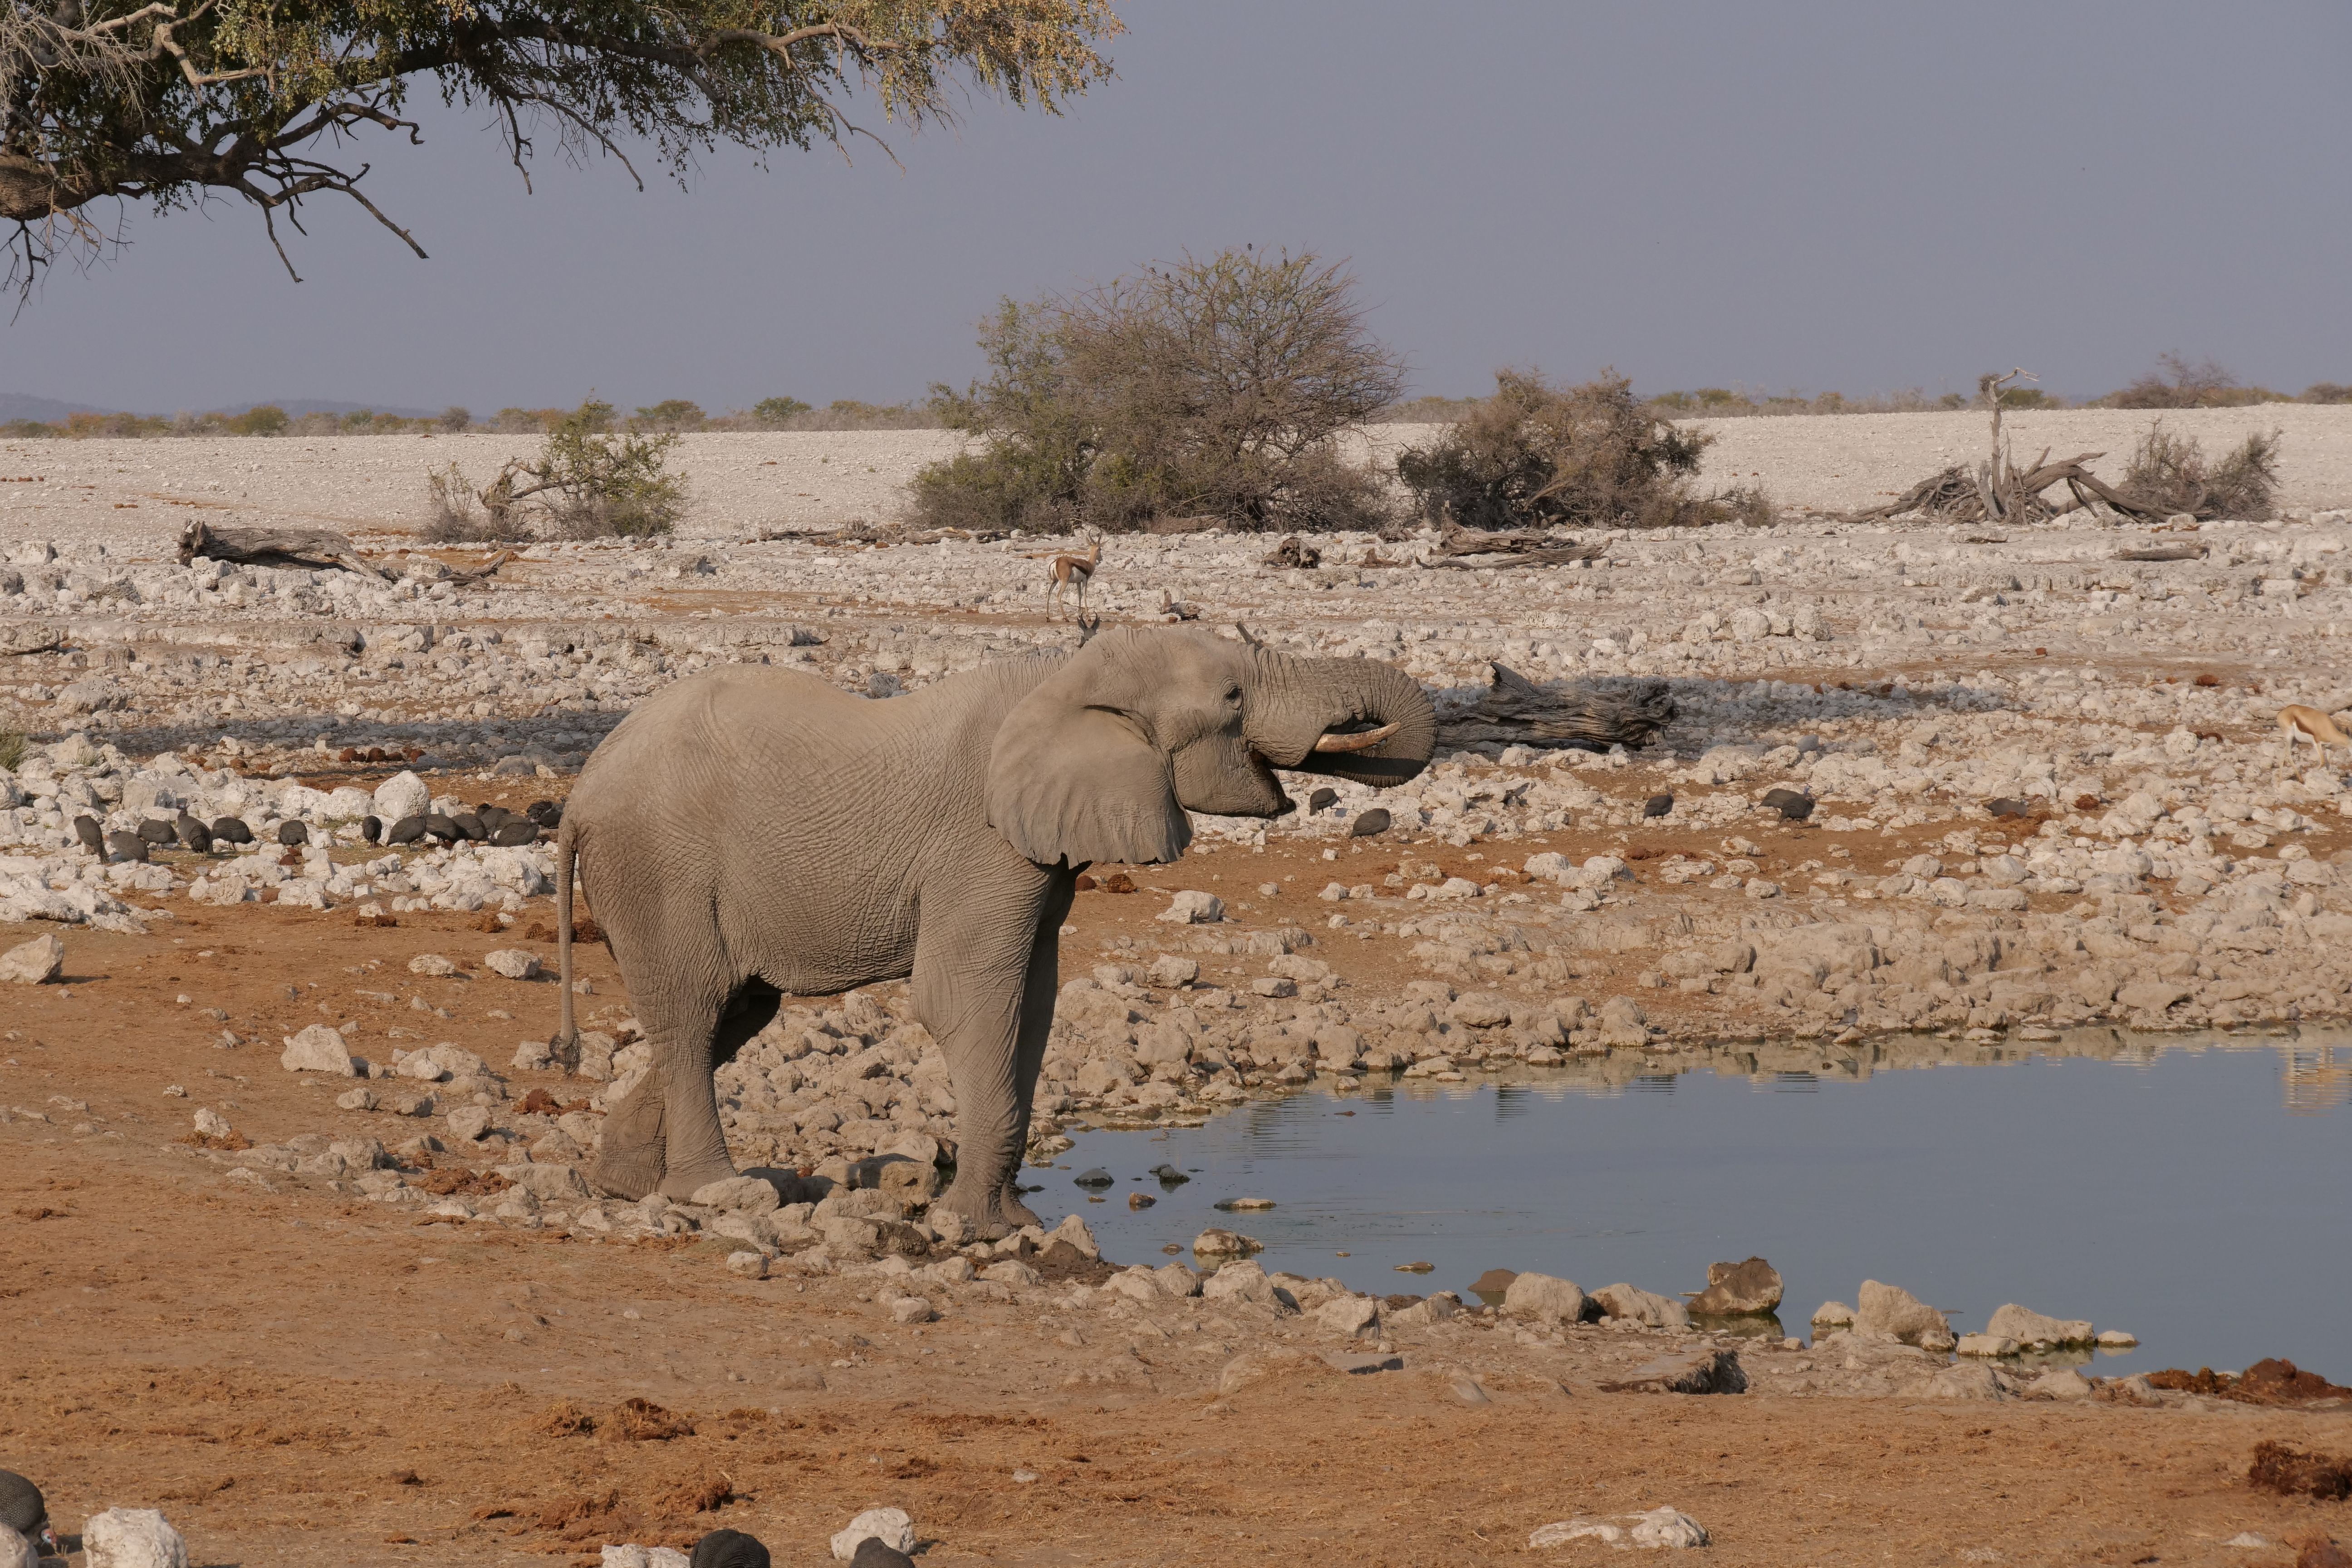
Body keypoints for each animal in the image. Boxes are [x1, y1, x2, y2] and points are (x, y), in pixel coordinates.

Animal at [550, 624, 1434, 1236]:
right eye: (1231, 701)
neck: (1067, 674)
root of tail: (578, 792)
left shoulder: (1040, 858)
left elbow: (1032, 1005)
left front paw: (1013, 1223)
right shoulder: (981, 846)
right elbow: (966, 1001)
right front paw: (979, 1230)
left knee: (734, 1012)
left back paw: (623, 1184)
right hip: (657, 864)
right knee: (696, 1011)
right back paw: (714, 1193)